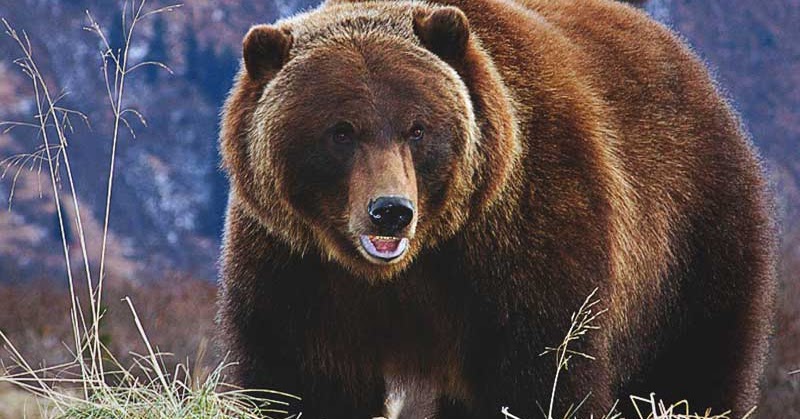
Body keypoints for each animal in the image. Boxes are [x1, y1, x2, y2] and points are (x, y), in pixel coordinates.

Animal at [217, 0, 777, 418]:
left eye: (417, 128)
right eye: (341, 131)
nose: (390, 211)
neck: (404, 270)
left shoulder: (524, 246)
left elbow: (543, 376)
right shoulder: (298, 271)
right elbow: (300, 381)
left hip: (691, 240)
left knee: (694, 365)